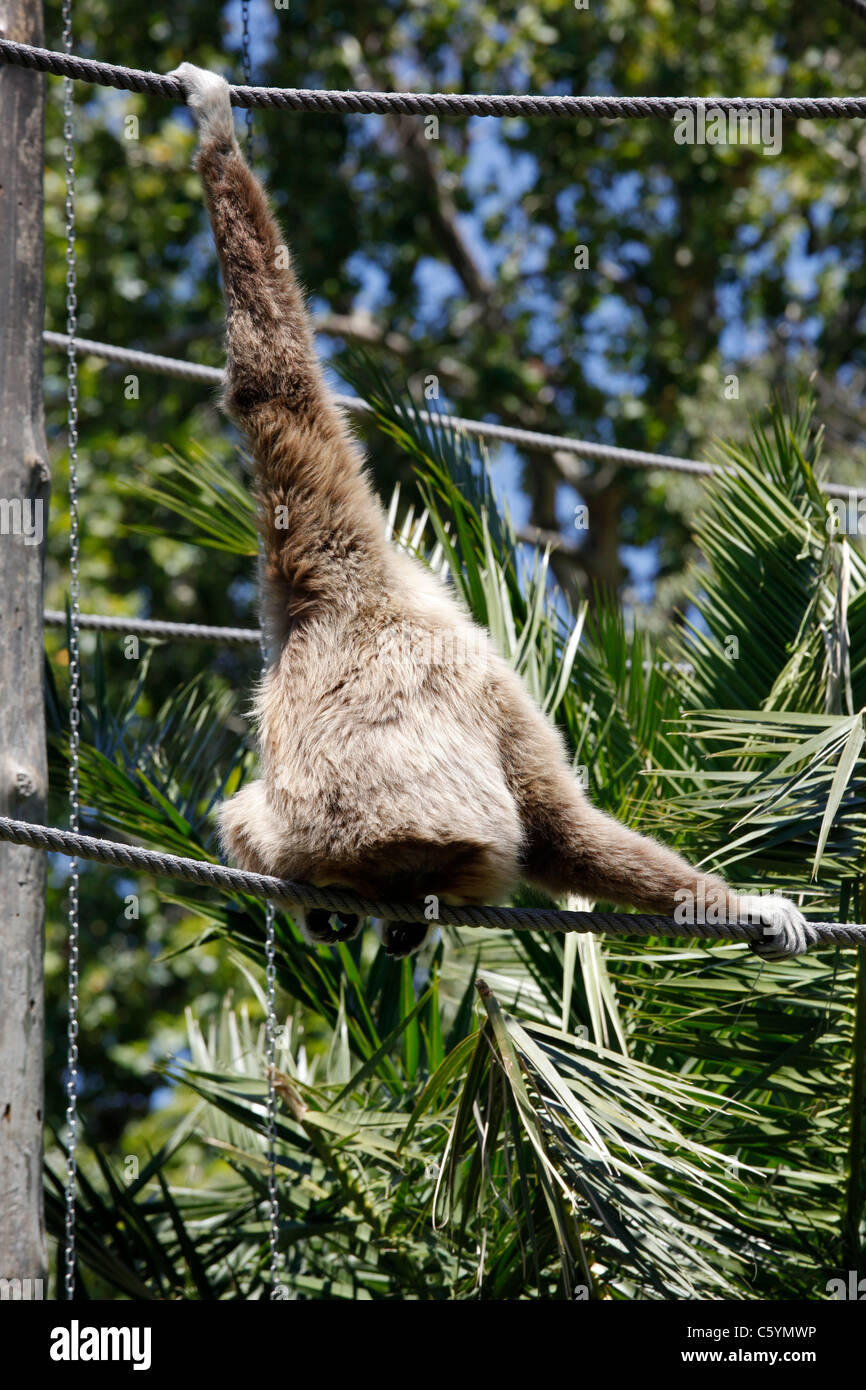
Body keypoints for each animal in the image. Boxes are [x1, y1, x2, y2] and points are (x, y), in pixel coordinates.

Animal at [169, 63, 812, 962]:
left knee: (244, 816)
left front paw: (217, 131)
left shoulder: (318, 556)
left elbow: (276, 392)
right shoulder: (499, 683)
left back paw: (341, 912)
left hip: (307, 832)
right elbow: (559, 825)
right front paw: (747, 909)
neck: (384, 594)